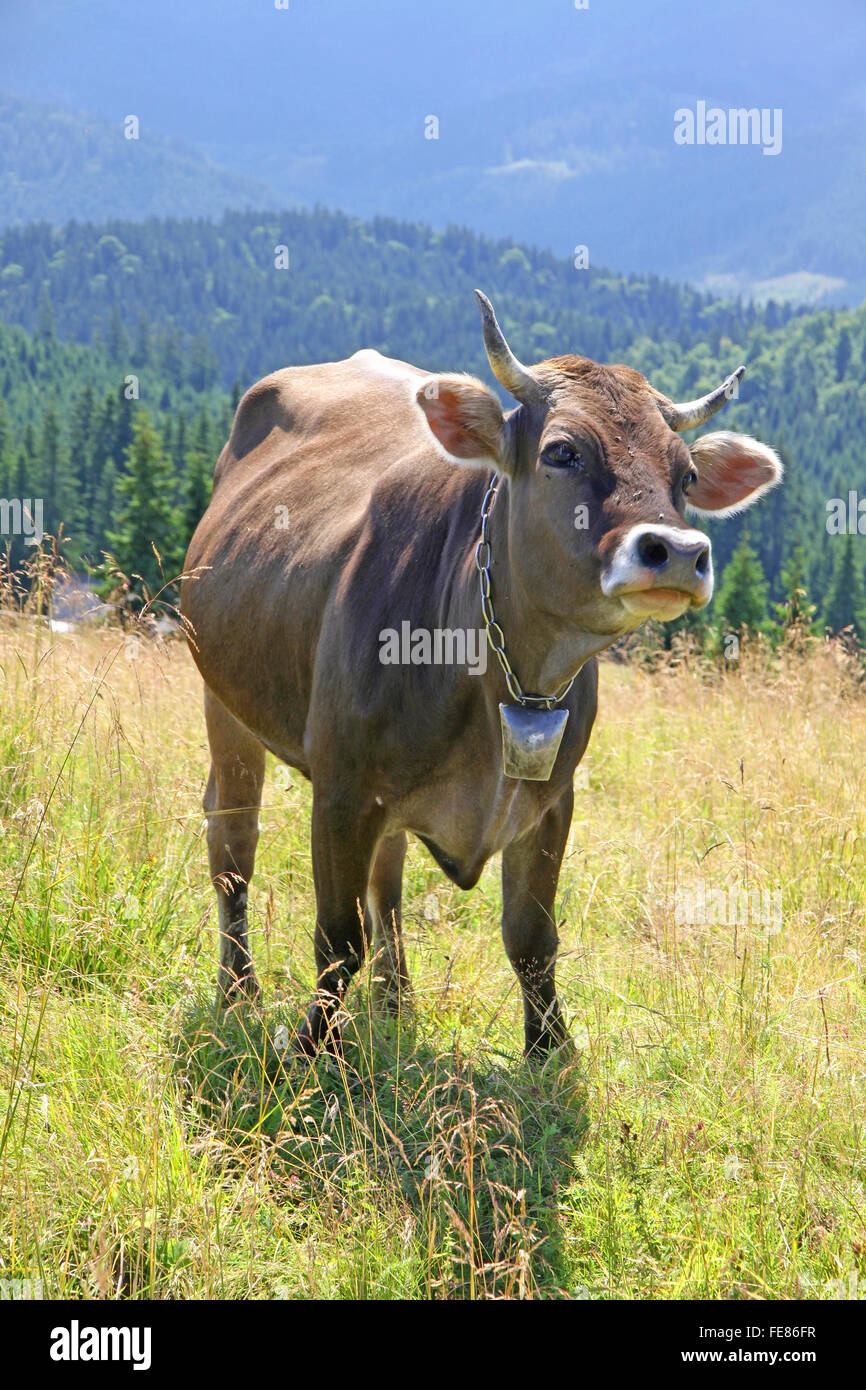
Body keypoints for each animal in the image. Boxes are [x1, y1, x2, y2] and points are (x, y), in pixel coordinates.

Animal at [181, 292, 781, 1059]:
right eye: (562, 451)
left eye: (687, 477)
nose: (676, 552)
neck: (509, 680)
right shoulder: (341, 788)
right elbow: (337, 939)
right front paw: (314, 1048)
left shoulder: (553, 800)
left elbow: (531, 939)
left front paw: (550, 1052)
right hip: (222, 698)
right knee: (233, 842)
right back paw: (238, 990)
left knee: (387, 881)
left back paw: (396, 1002)